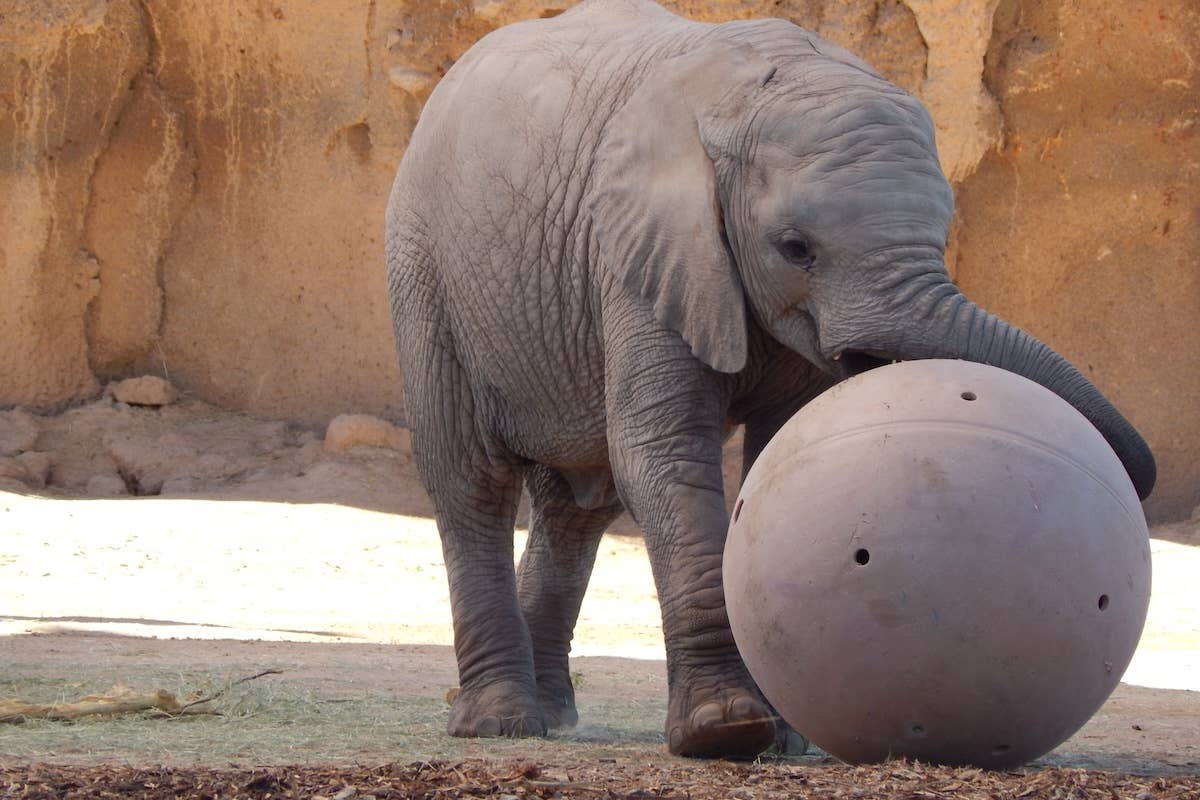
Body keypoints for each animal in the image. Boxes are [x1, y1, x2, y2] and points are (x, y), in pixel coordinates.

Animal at [384, 0, 1156, 759]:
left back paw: (552, 715)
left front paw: (782, 736)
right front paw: (725, 729)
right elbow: (665, 454)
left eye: (942, 240)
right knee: (472, 482)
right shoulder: (644, 250)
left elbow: (772, 455)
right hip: (424, 268)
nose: (1142, 476)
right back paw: (501, 722)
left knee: (576, 505)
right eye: (795, 249)